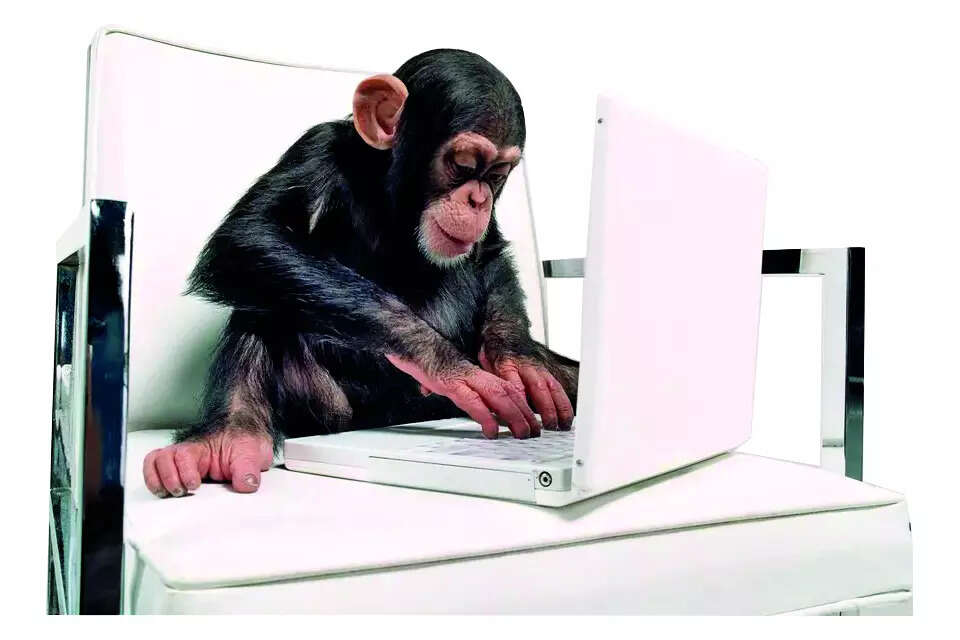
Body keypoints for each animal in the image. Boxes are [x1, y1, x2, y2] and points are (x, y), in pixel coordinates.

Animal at [142, 49, 579, 498]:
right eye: (462, 164)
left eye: (497, 175)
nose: (479, 200)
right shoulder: (316, 147)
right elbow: (251, 232)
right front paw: (447, 365)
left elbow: (488, 254)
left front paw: (517, 357)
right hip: (333, 412)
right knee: (264, 291)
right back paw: (229, 439)